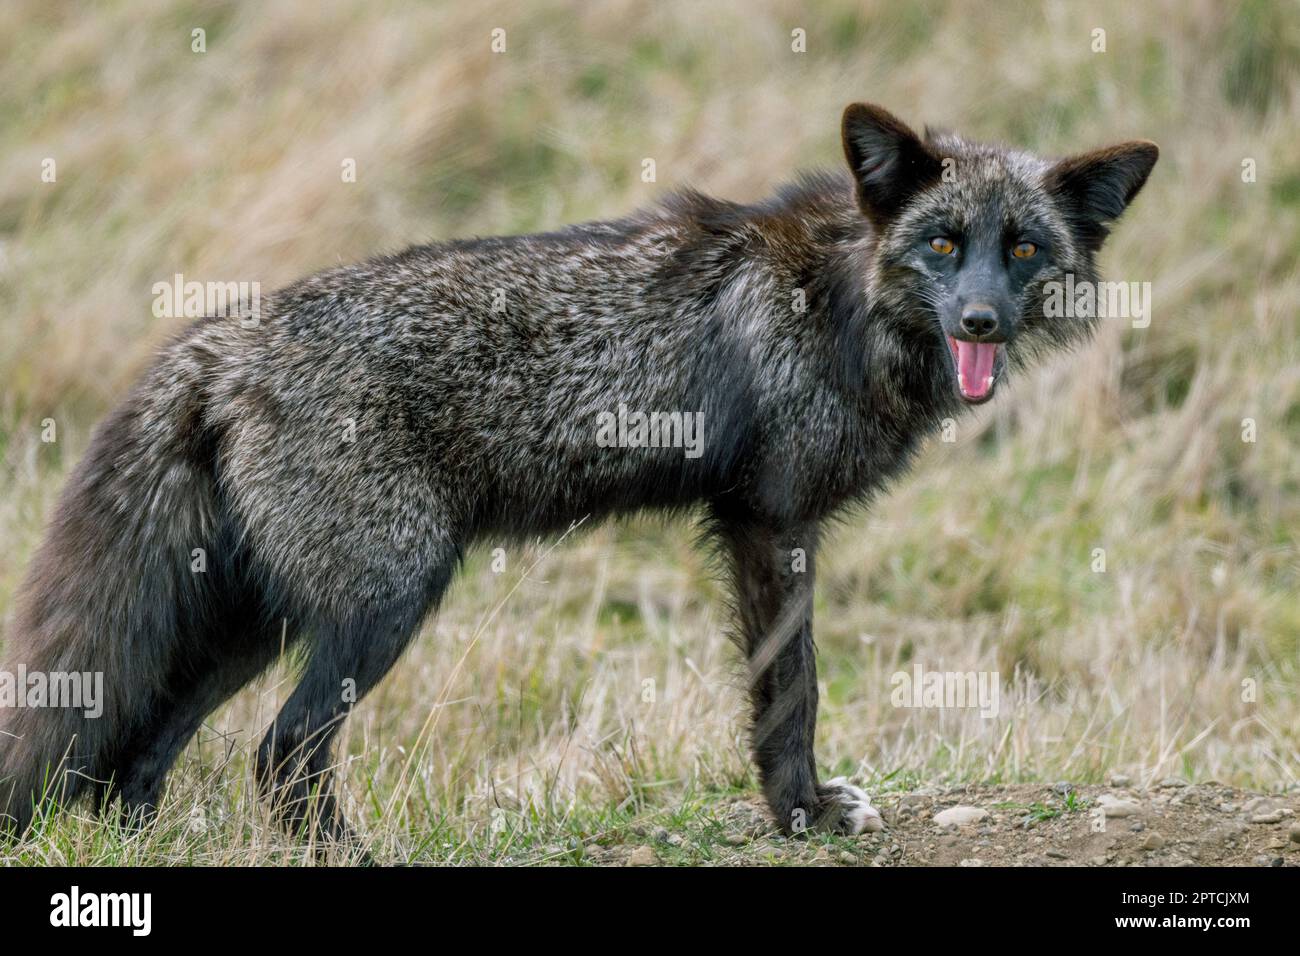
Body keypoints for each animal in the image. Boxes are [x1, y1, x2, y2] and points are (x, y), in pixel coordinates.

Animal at [0, 102, 1157, 851]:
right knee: (280, 754)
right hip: (379, 603)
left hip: (260, 615)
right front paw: (801, 813)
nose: (982, 322)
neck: (839, 300)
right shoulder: (768, 522)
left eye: (1022, 249)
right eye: (943, 243)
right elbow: (791, 689)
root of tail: (222, 342)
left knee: (143, 752)